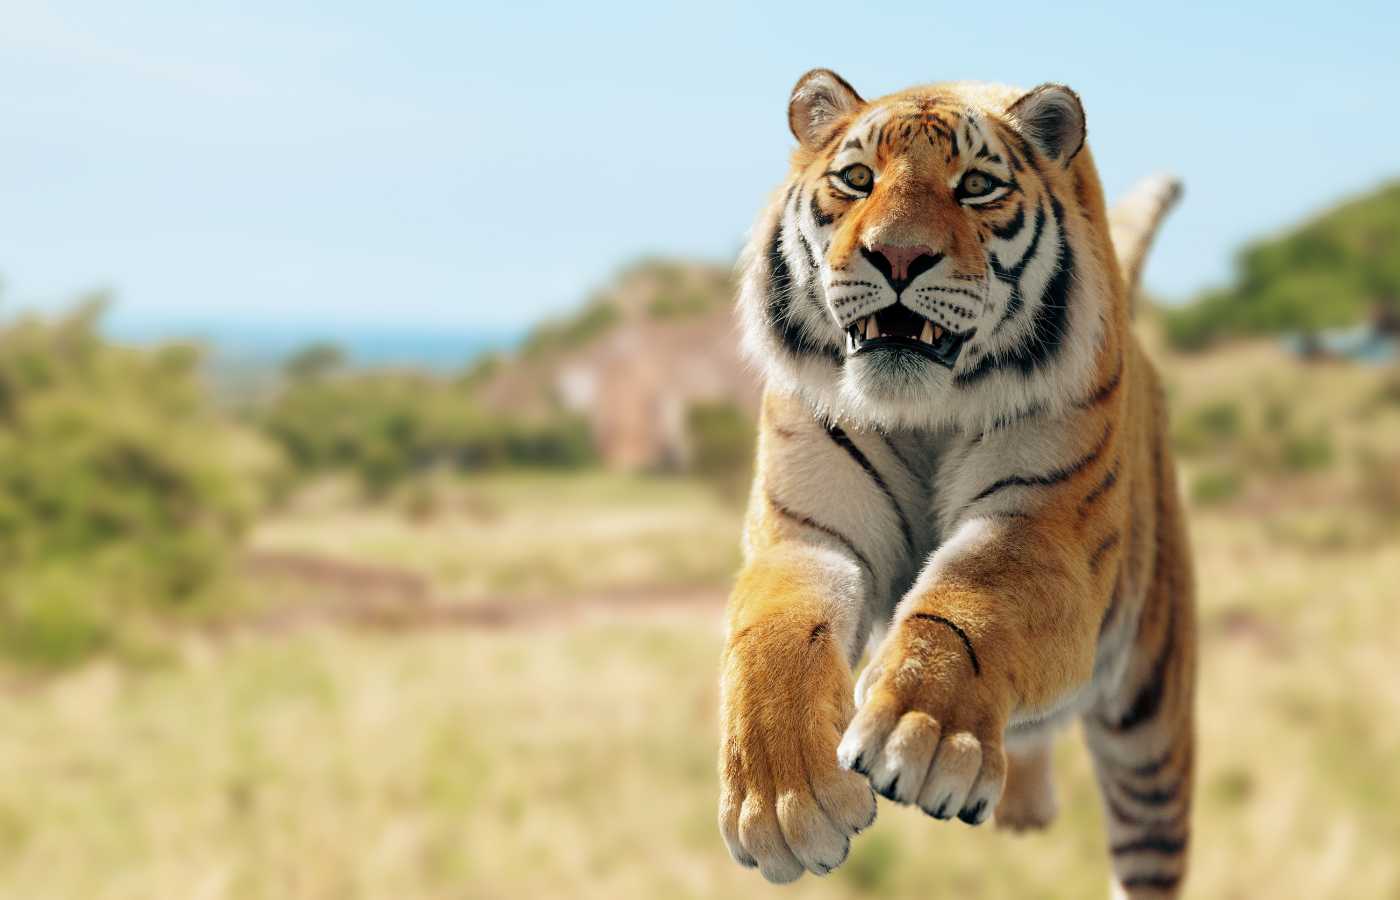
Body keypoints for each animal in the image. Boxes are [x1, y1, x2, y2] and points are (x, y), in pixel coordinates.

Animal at [717, 70, 1195, 899]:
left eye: (975, 186)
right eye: (857, 179)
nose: (898, 256)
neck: (924, 412)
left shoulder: (1039, 529)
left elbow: (971, 606)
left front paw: (925, 735)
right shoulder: (807, 534)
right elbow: (776, 639)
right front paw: (782, 801)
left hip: (1151, 728)